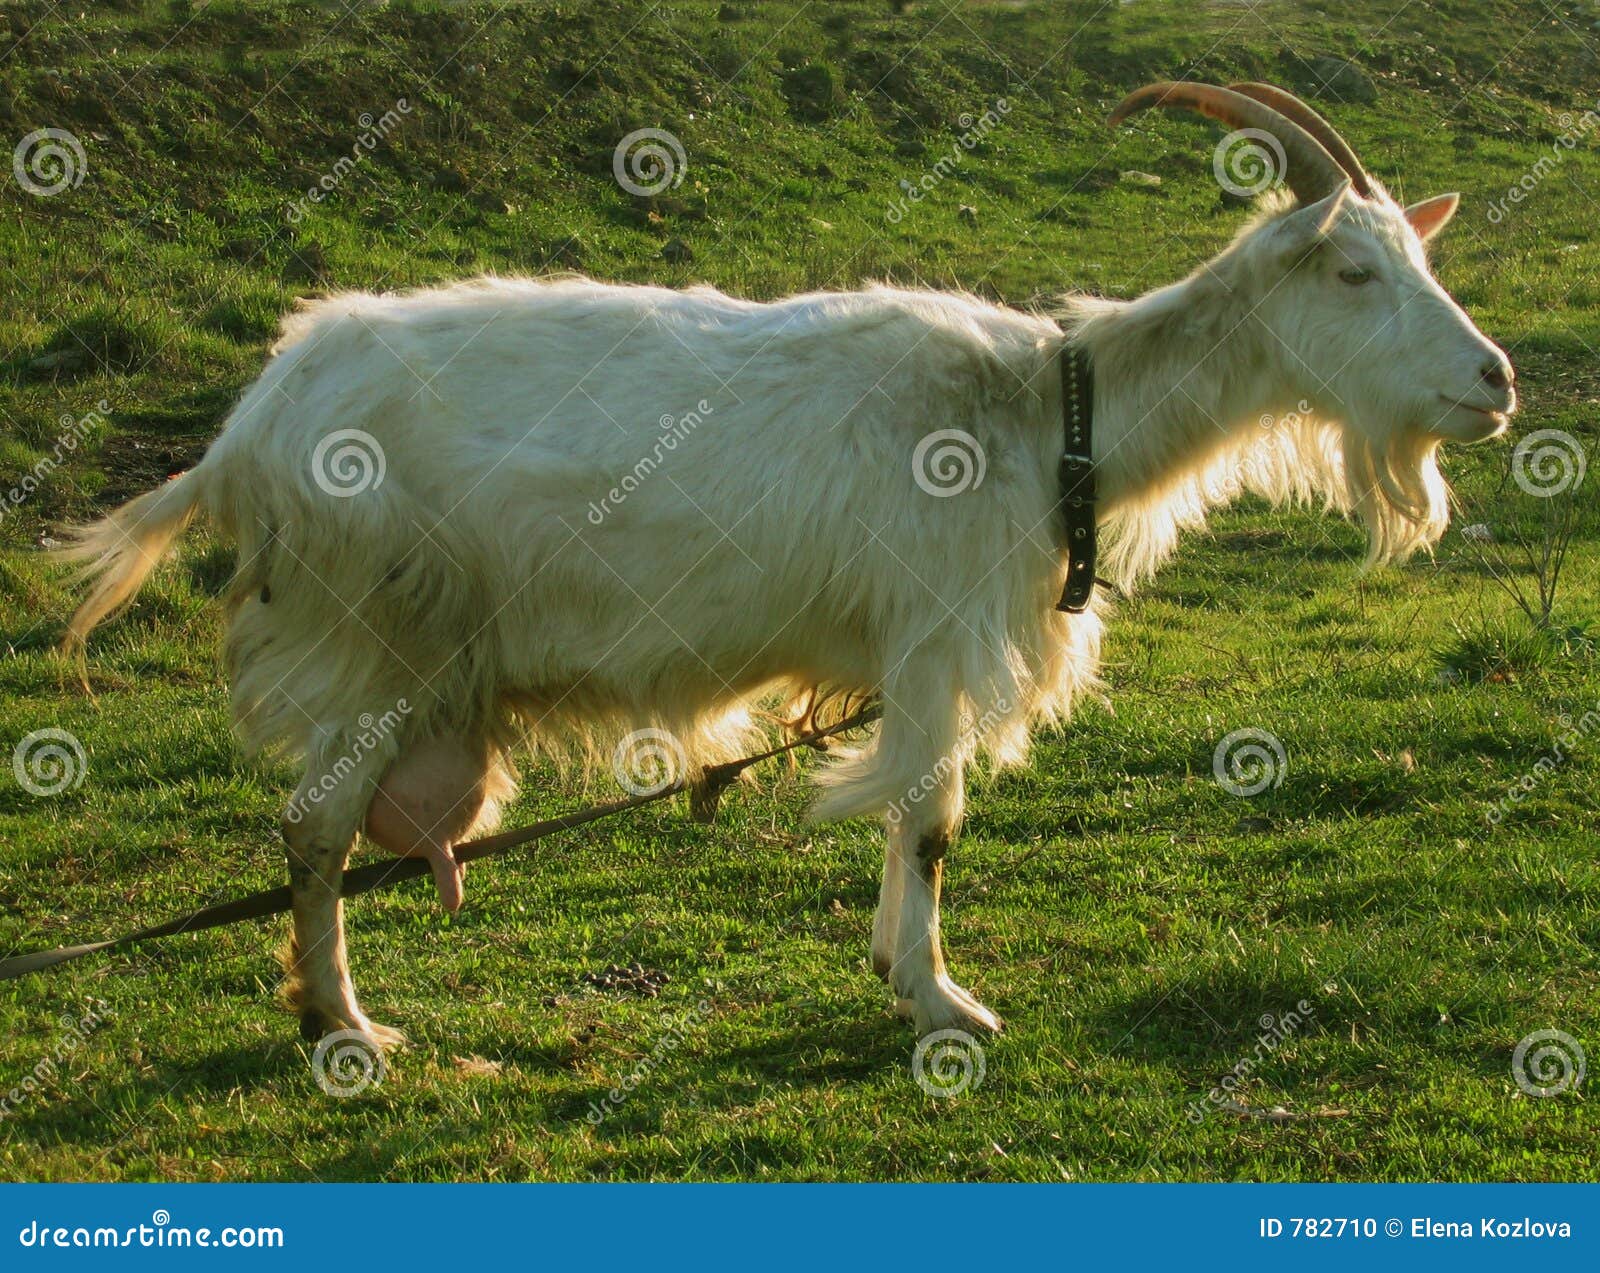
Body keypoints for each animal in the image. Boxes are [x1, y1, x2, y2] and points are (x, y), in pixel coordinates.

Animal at [59, 83, 1515, 1049]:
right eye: (1349, 271)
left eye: (1416, 256)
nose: (1495, 382)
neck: (1043, 415)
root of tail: (250, 426)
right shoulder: (934, 633)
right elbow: (928, 815)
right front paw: (941, 999)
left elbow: (911, 816)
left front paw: (896, 967)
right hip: (376, 635)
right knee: (310, 829)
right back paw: (341, 1028)